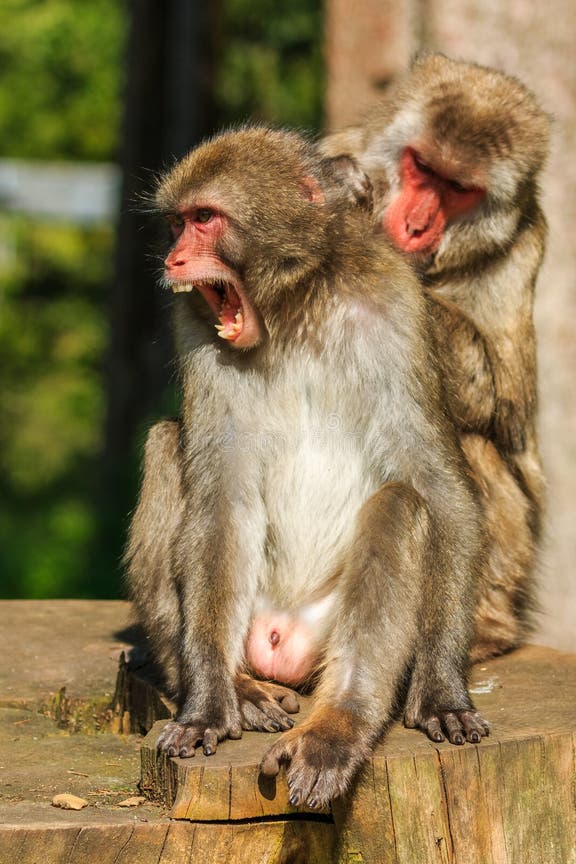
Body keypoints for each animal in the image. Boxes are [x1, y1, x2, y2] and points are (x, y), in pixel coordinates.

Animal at [125, 125, 489, 809]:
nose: (173, 261)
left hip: (324, 632)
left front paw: (442, 688)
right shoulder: (196, 327)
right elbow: (220, 497)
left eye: (205, 219)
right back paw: (240, 686)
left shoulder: (397, 306)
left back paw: (338, 725)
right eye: (178, 224)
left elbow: (438, 486)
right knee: (165, 442)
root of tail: (279, 638)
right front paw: (208, 702)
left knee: (401, 505)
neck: (295, 306)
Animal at [320, 53, 550, 662]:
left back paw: (479, 630)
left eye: (459, 188)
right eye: (421, 166)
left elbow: (501, 405)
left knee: (465, 437)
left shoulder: (524, 247)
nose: (416, 224)